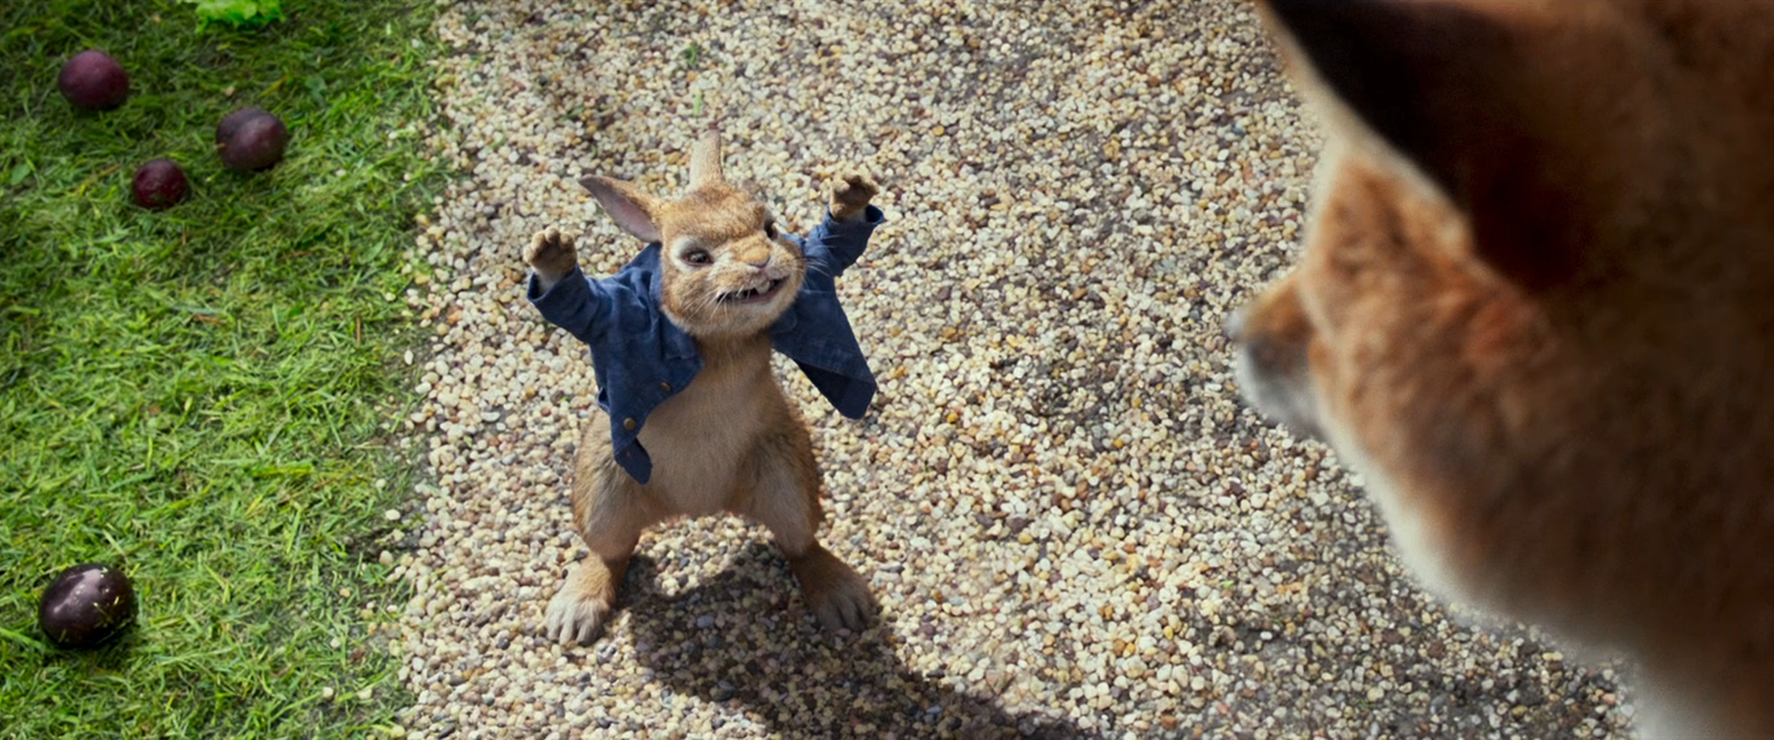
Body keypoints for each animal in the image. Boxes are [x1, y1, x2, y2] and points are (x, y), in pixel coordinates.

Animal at [522, 127, 886, 644]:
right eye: (695, 257)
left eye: (770, 228)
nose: (761, 261)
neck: (721, 339)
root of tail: (697, 507)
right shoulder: (614, 316)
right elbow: (579, 306)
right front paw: (552, 256)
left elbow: (830, 251)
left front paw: (850, 197)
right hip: (603, 492)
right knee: (611, 553)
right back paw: (574, 612)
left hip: (789, 480)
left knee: (800, 544)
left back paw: (844, 599)